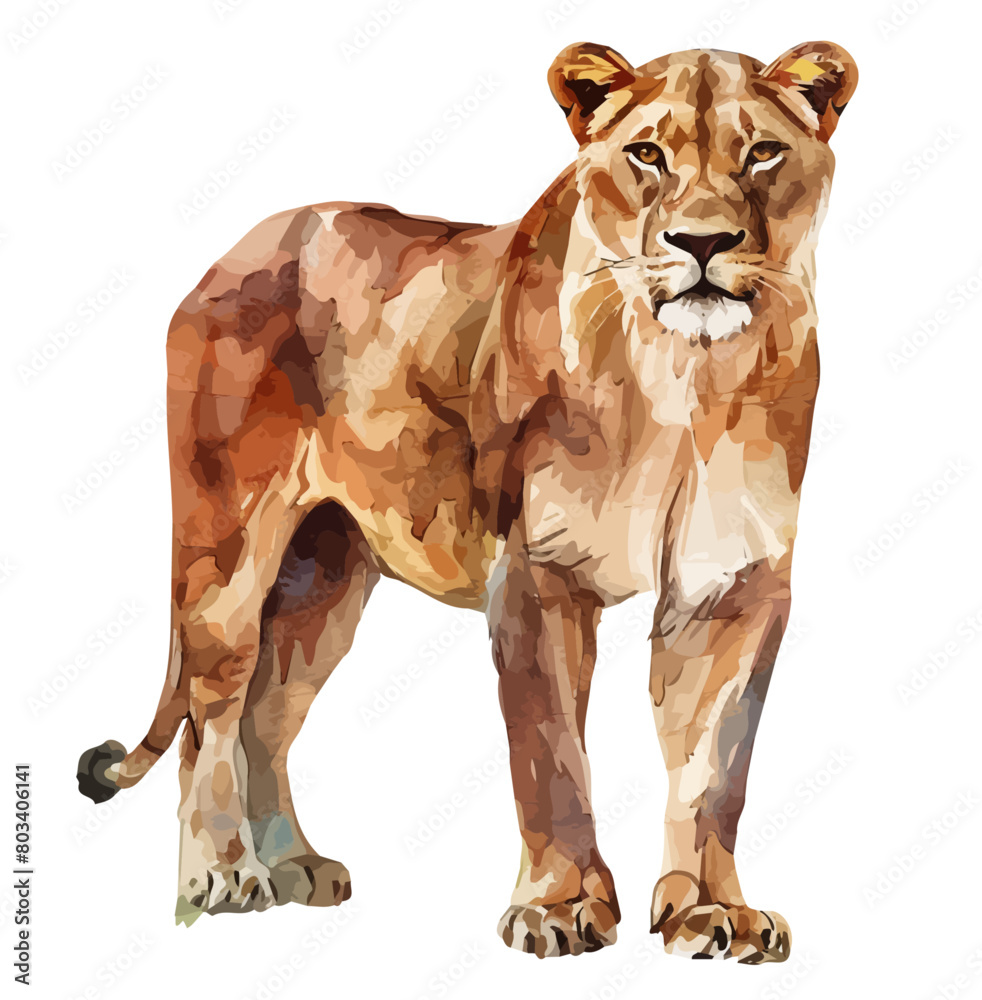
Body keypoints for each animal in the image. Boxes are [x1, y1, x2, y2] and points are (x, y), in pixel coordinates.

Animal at [77, 39, 857, 962]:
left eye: (762, 153)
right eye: (647, 155)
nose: (702, 241)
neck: (686, 376)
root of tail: (235, 248)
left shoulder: (734, 584)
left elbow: (715, 767)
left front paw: (712, 914)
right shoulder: (535, 573)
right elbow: (550, 754)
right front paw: (559, 911)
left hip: (323, 578)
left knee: (268, 712)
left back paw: (296, 869)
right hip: (227, 554)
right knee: (212, 714)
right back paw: (222, 878)